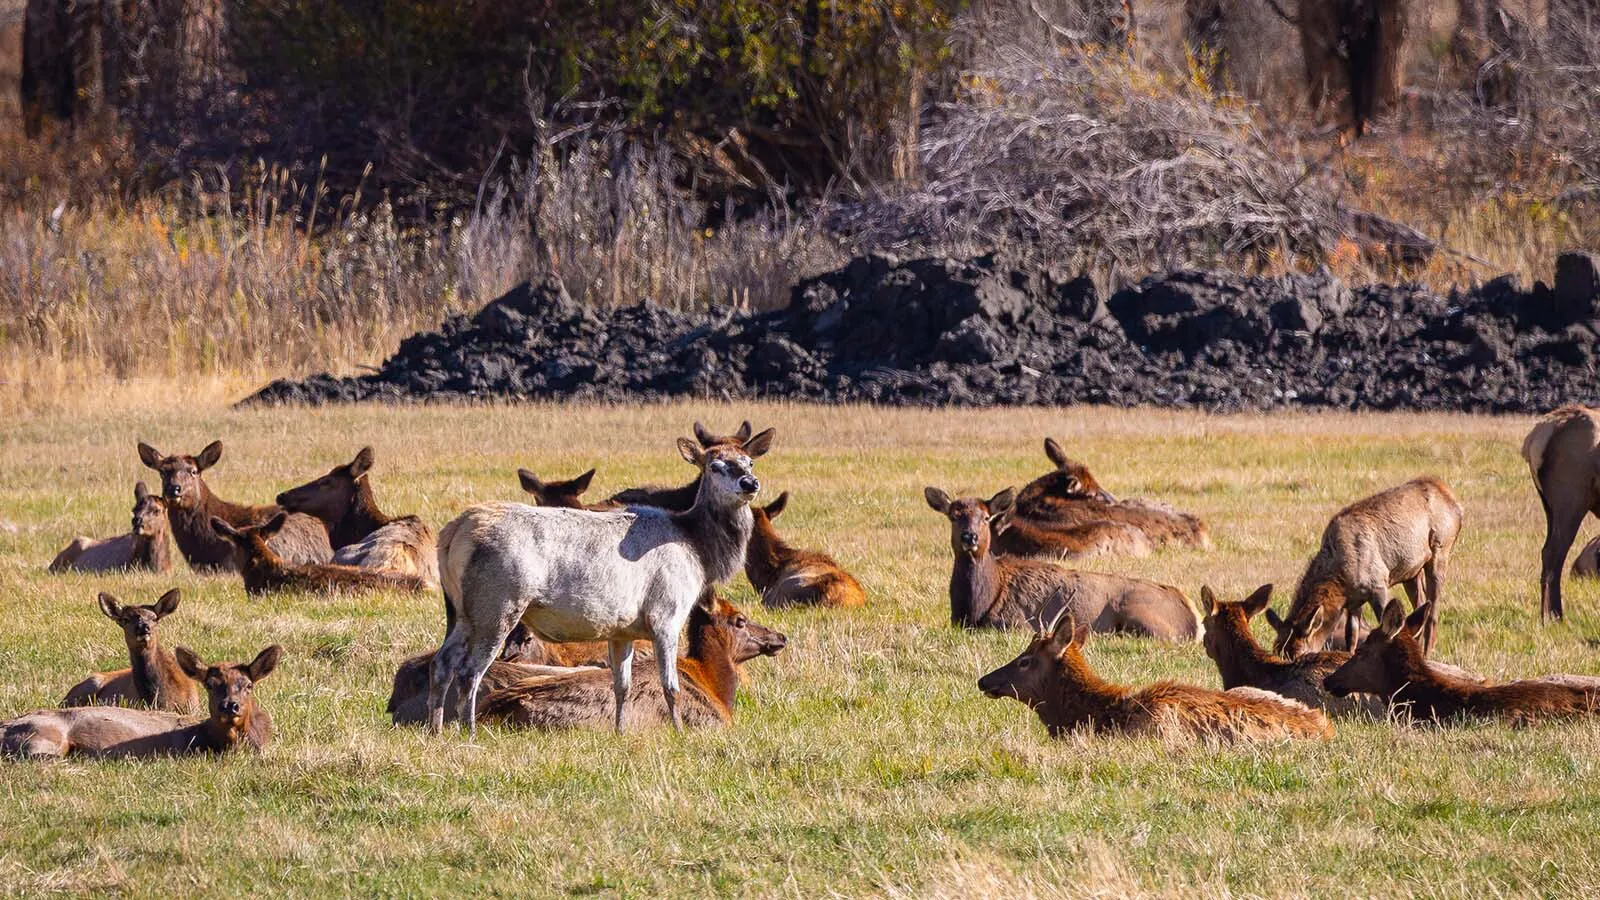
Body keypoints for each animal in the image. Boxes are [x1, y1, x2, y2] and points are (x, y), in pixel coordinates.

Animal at [428, 428, 775, 735]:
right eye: (714, 466)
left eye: (750, 462)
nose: (750, 483)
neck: (700, 551)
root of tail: (452, 533)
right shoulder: (667, 612)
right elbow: (671, 686)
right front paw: (679, 732)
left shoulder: (623, 629)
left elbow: (622, 685)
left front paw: (620, 731)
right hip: (498, 603)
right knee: (469, 671)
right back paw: (469, 732)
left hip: (461, 610)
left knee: (442, 662)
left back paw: (436, 729)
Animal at [925, 487, 1198, 640]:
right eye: (954, 516)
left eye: (985, 517)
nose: (969, 536)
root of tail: (1193, 617)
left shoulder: (1016, 623)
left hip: (1142, 616)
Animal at [1272, 476, 1462, 658]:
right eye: (1276, 650)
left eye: (1297, 653)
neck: (1340, 579)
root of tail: (1457, 506)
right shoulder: (1354, 601)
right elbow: (1351, 637)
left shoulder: (1378, 584)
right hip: (1412, 572)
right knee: (1421, 606)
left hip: (1440, 551)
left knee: (1433, 614)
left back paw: (1426, 654)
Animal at [1522, 405, 1600, 621]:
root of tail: (1534, 440)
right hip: (1571, 502)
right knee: (1554, 553)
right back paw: (1555, 616)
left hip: (1549, 507)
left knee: (1546, 552)